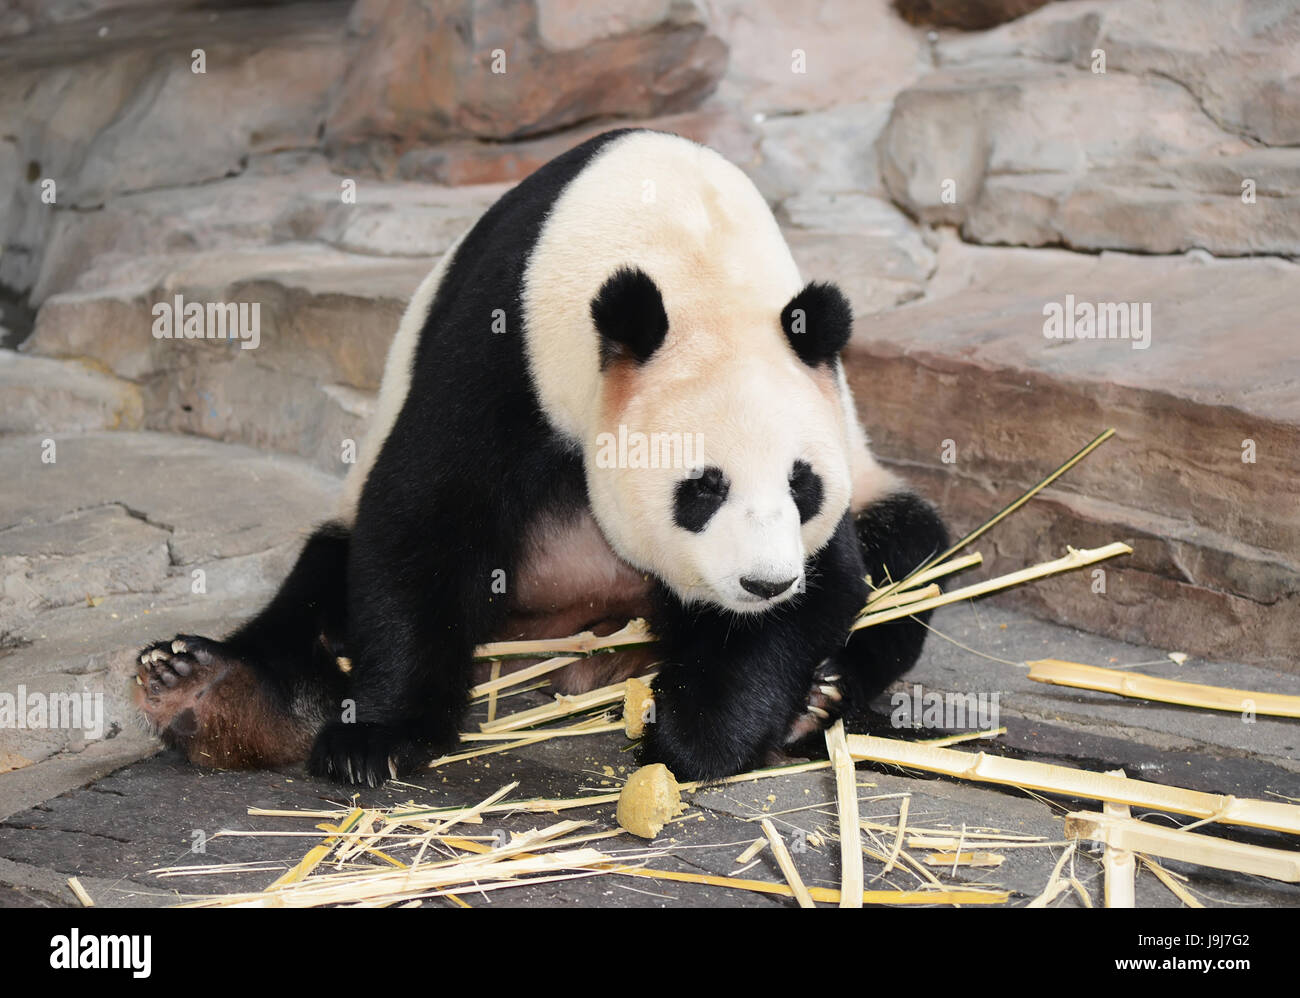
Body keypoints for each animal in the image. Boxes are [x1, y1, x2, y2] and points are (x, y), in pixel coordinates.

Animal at [134, 129, 948, 786]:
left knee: (913, 554)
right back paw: (206, 690)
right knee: (321, 576)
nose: (762, 582)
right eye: (702, 488)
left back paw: (822, 697)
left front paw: (697, 734)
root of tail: (563, 646)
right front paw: (381, 738)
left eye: (802, 485)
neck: (691, 259)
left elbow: (827, 586)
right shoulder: (508, 339)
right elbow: (424, 518)